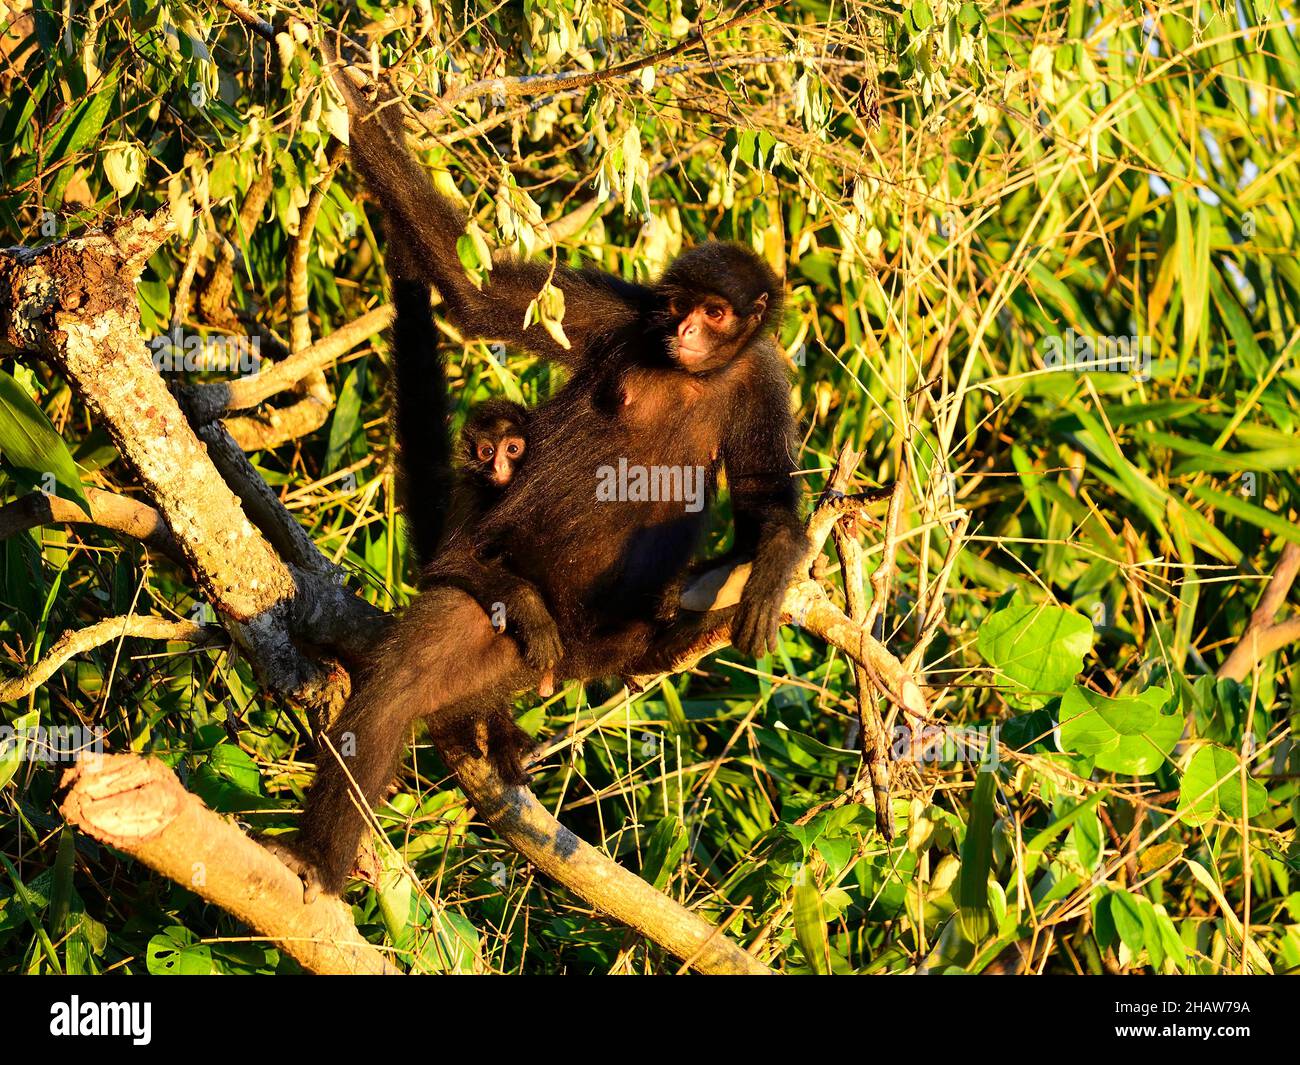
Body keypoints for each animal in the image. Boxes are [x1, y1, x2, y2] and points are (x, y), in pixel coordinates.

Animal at [283, 78, 810, 899]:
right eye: (677, 306)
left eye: (716, 312)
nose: (686, 330)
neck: (695, 372)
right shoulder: (625, 312)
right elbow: (473, 291)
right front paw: (340, 80)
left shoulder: (763, 377)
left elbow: (763, 498)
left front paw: (776, 569)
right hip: (508, 606)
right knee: (409, 673)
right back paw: (317, 857)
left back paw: (663, 636)